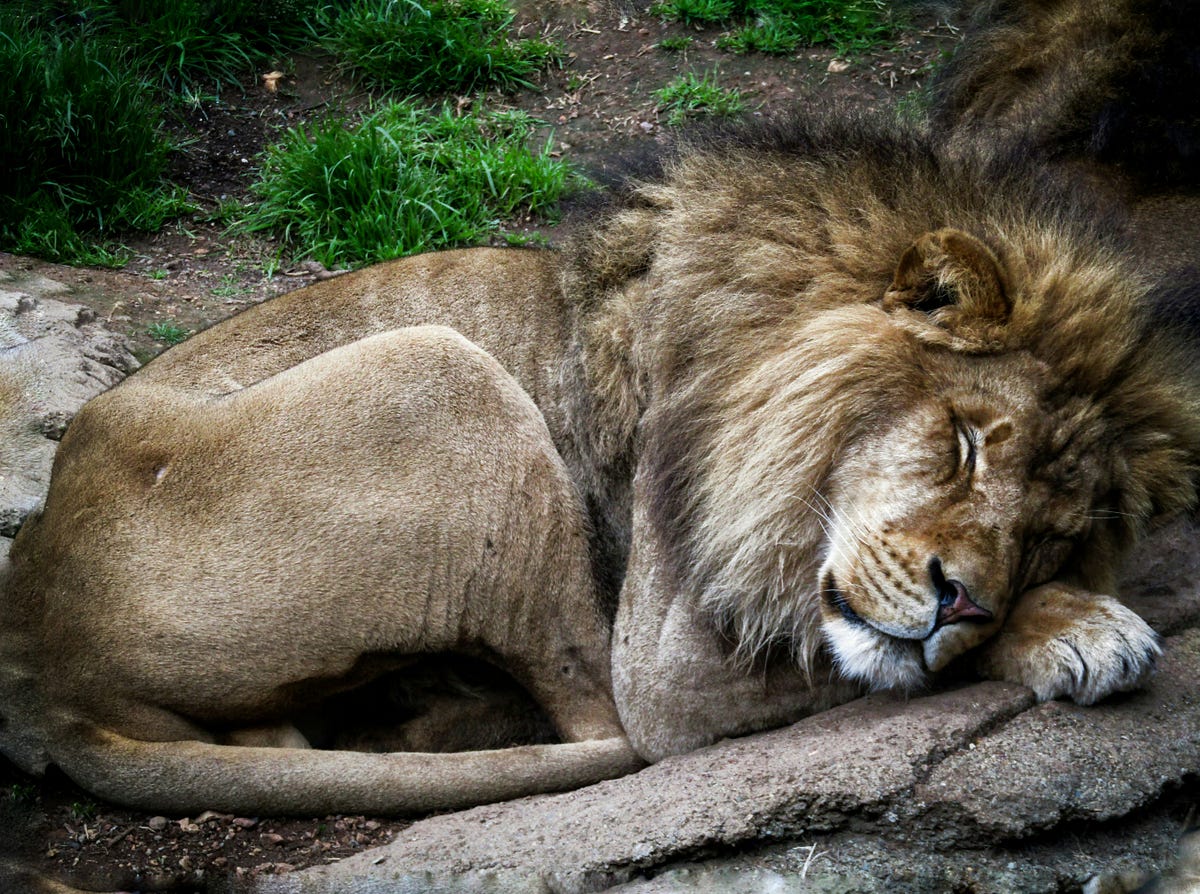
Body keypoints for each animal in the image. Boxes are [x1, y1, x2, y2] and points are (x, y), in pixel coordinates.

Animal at [2, 112, 1198, 815]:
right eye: (963, 440)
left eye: (1050, 533)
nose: (963, 600)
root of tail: (50, 655)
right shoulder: (669, 661)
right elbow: (858, 660)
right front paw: (1084, 631)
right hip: (447, 373)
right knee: (593, 722)